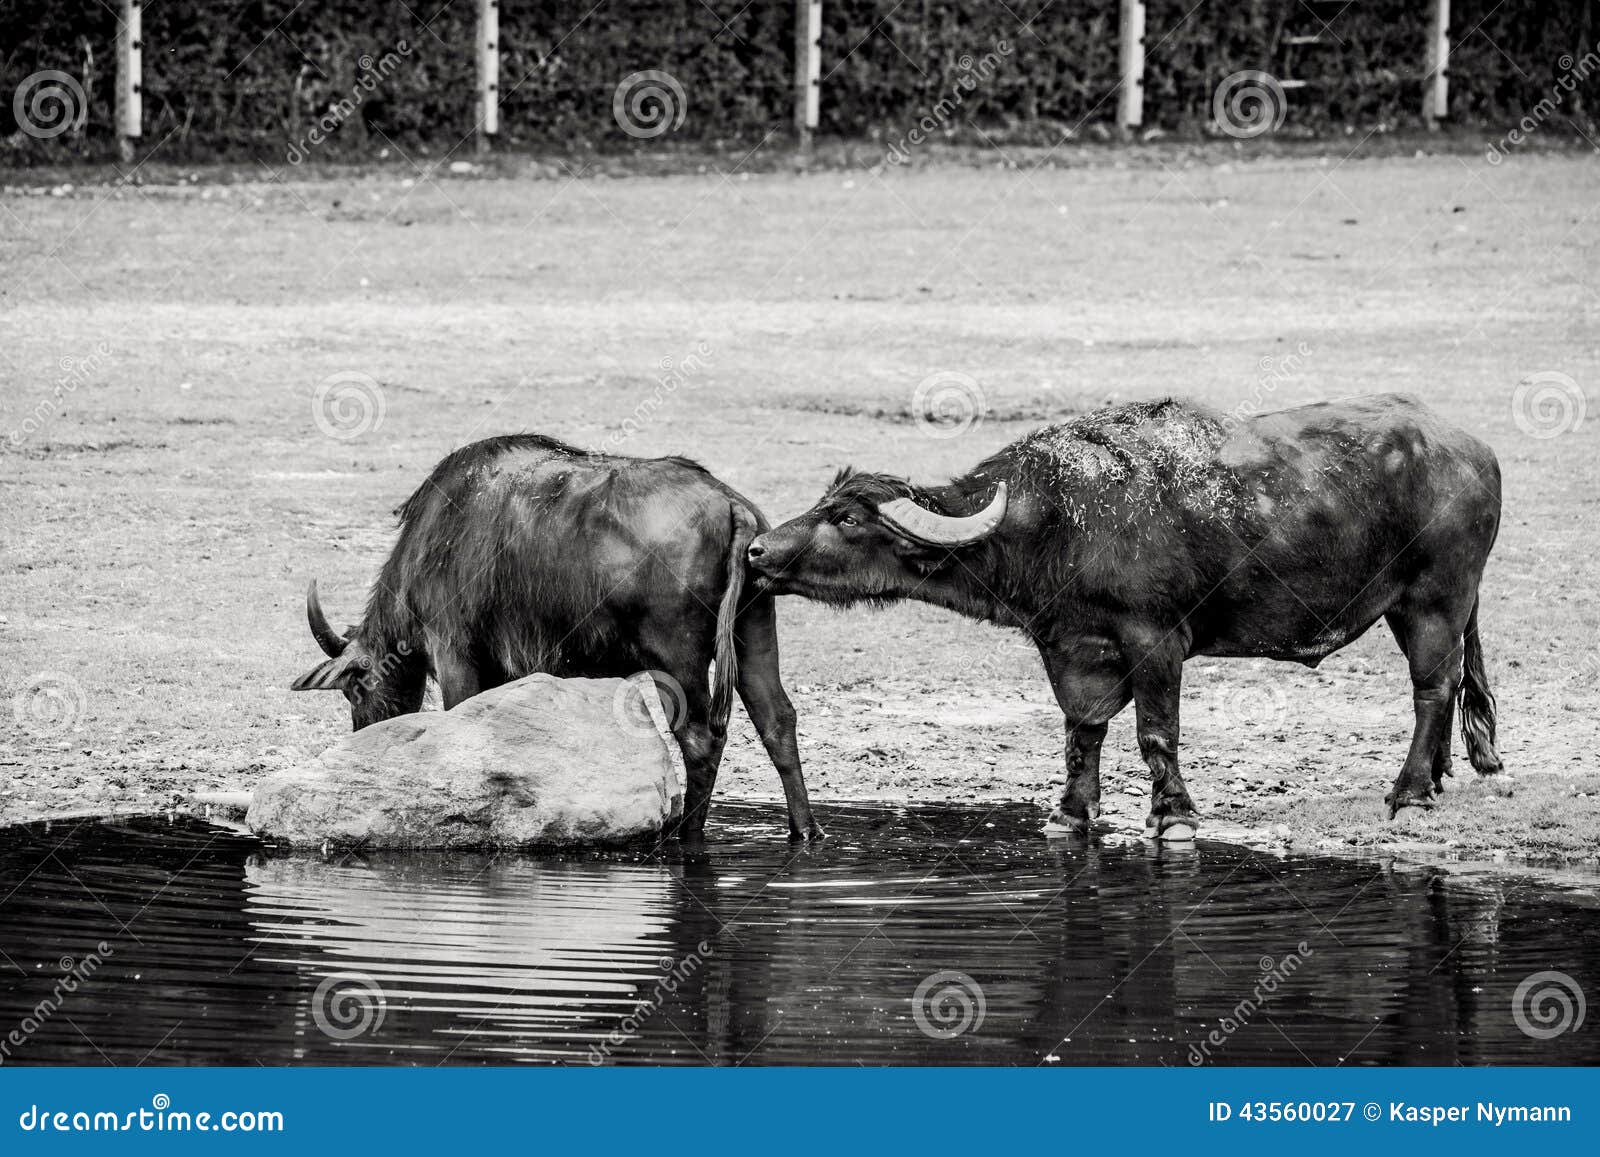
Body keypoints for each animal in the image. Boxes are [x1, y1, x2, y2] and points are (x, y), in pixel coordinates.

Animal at [290, 433, 824, 841]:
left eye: (355, 688)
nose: (363, 739)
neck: (436, 537)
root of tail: (730, 503)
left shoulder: (455, 651)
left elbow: (460, 722)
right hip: (754, 634)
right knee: (777, 721)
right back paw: (804, 831)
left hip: (676, 658)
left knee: (699, 738)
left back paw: (682, 837)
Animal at [745, 394, 1507, 839]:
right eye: (822, 504)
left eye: (846, 519)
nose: (757, 550)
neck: (1055, 519)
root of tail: (1477, 449)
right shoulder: (1072, 647)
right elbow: (1081, 732)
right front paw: (1071, 811)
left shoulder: (1155, 639)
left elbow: (1155, 732)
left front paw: (1172, 814)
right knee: (1444, 691)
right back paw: (1438, 777)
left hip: (1435, 599)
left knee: (1433, 686)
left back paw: (1409, 793)